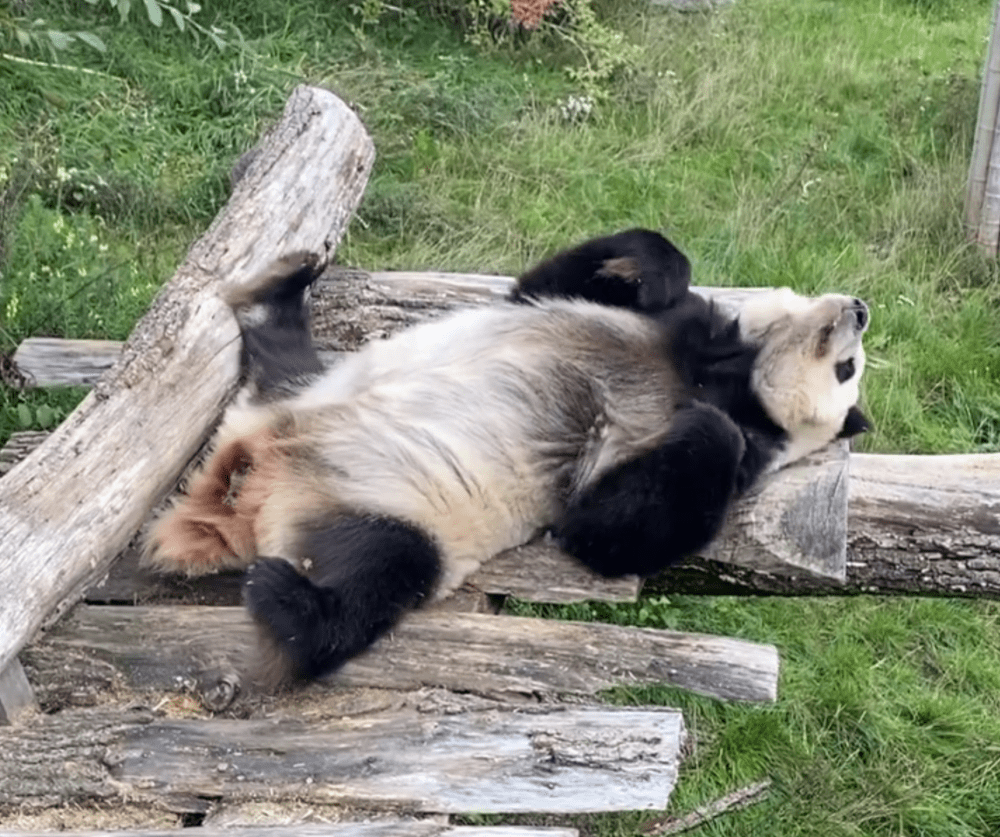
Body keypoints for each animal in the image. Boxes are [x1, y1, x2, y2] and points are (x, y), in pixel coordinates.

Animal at [144, 229, 870, 686]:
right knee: (281, 345)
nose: (860, 308)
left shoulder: (702, 454)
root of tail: (242, 488)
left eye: (848, 368)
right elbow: (554, 281)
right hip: (300, 390)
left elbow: (608, 531)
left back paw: (290, 601)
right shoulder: (660, 322)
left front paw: (708, 426)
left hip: (386, 507)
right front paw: (652, 269)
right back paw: (286, 285)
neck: (728, 371)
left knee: (384, 571)